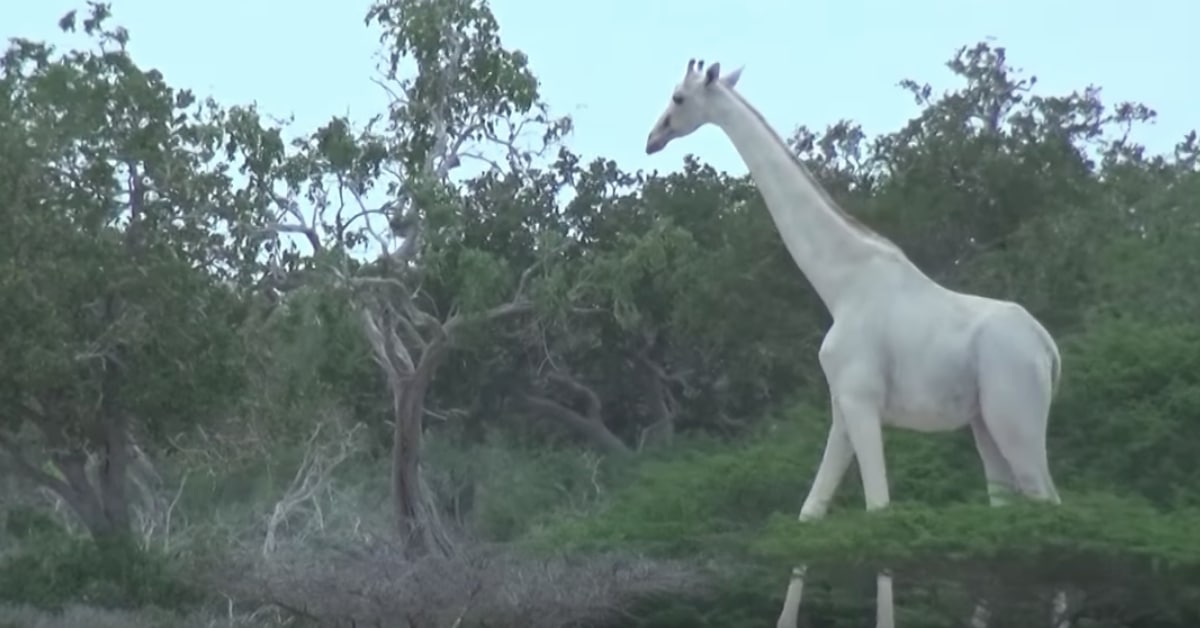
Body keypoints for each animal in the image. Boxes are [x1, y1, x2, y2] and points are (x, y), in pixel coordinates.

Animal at [643, 59, 1068, 628]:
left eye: (678, 98)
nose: (653, 137)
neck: (840, 284)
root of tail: (1048, 347)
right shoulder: (842, 407)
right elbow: (809, 514)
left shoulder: (863, 401)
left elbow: (878, 515)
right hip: (985, 424)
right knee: (1006, 513)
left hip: (1016, 417)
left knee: (1051, 507)